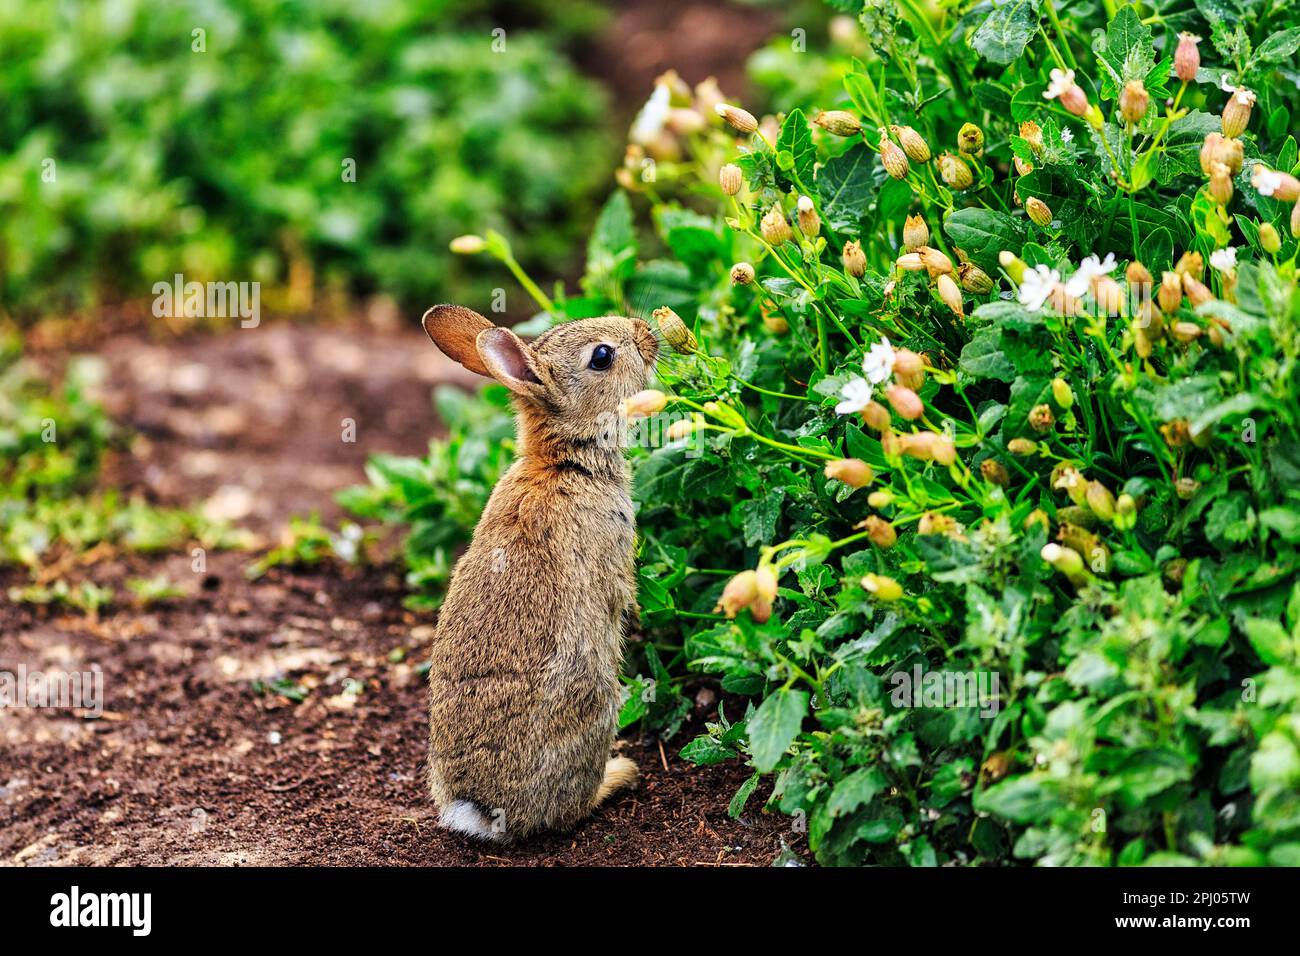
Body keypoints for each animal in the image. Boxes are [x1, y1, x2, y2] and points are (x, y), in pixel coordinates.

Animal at [419, 303, 659, 843]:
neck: (566, 460)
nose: (646, 332)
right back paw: (619, 775)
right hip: (597, 706)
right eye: (602, 357)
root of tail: (481, 809)